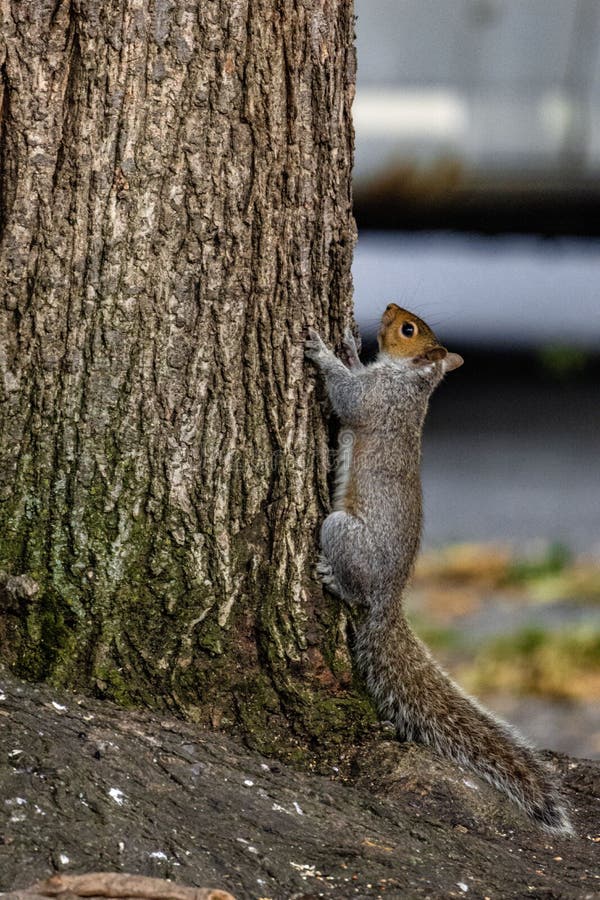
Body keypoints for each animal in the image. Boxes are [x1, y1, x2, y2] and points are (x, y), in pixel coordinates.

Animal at [305, 304, 573, 836]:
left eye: (409, 329)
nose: (389, 308)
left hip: (342, 531)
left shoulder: (378, 399)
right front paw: (348, 338)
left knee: (354, 588)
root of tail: (390, 597)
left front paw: (323, 351)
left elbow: (346, 396)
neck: (413, 380)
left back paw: (332, 577)